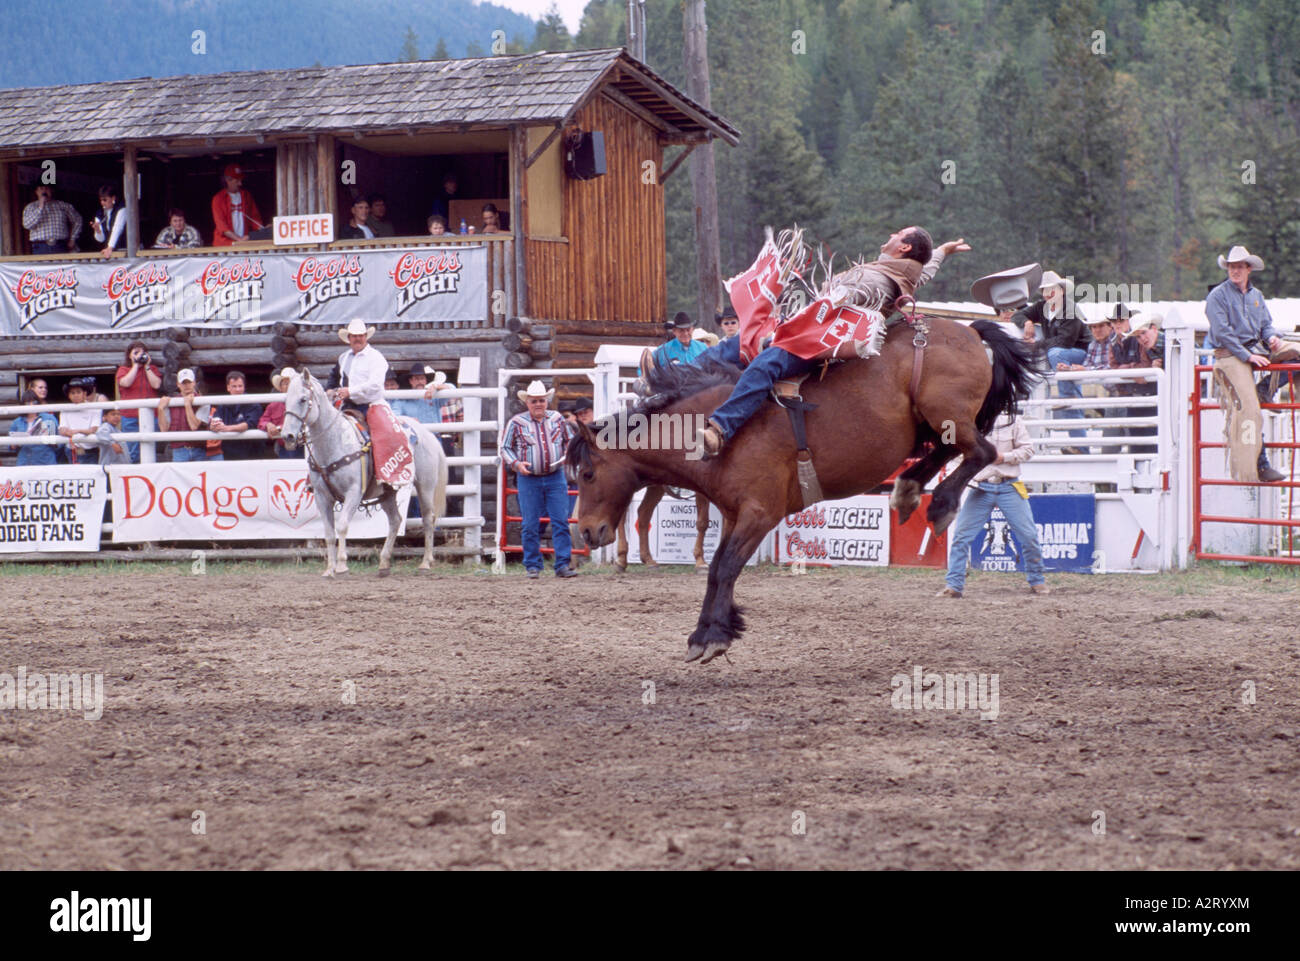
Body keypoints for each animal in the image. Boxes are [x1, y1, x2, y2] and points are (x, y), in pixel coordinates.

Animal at [280, 370, 448, 577]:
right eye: (286, 399)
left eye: (303, 399)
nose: (287, 436)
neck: (334, 442)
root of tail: (427, 433)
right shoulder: (321, 496)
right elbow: (329, 533)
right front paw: (329, 569)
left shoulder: (353, 492)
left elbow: (342, 526)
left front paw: (342, 566)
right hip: (387, 492)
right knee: (395, 520)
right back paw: (384, 563)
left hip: (425, 486)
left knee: (428, 519)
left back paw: (426, 562)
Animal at [567, 317, 1037, 664]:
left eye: (587, 474)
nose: (586, 532)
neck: (717, 430)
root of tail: (968, 331)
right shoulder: (734, 515)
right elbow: (718, 567)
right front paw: (713, 630)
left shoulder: (759, 513)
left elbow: (725, 568)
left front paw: (711, 637)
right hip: (934, 423)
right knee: (948, 451)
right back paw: (907, 489)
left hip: (948, 415)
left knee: (982, 450)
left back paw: (937, 504)